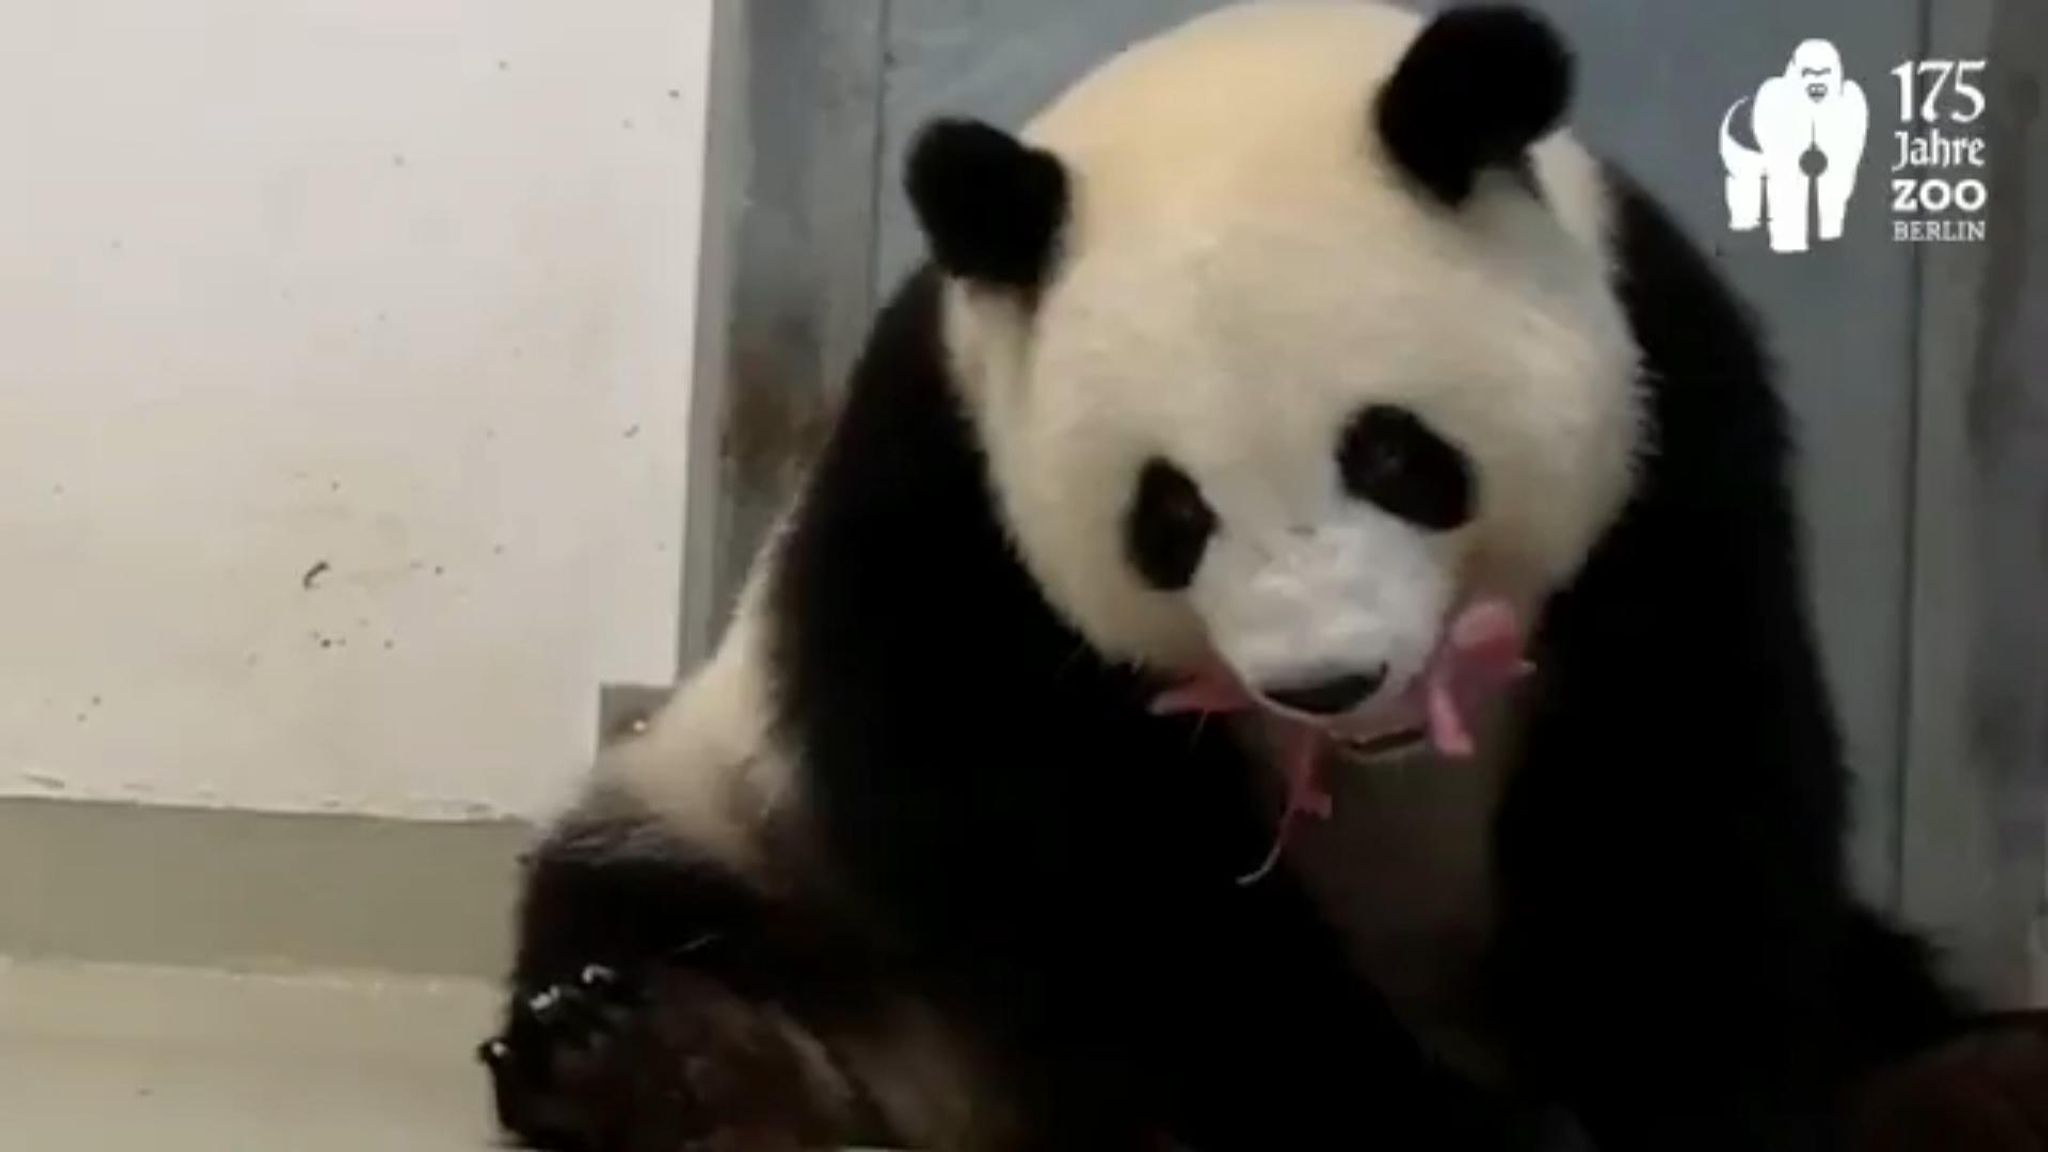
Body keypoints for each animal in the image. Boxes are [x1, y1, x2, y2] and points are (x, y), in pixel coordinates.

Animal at [478, 3, 1982, 1150]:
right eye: (1169, 514)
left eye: (1396, 454)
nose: (1331, 680)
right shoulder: (951, 493)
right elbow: (1089, 864)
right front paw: (1414, 1130)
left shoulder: (1671, 414)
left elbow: (1678, 778)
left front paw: (1683, 1105)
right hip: (744, 821)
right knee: (640, 905)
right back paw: (677, 1069)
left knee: (1894, 990)